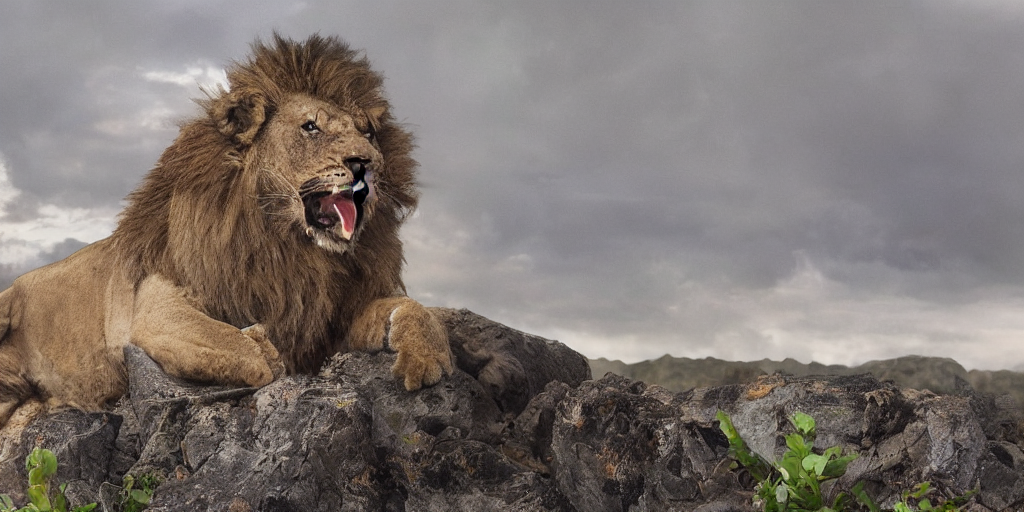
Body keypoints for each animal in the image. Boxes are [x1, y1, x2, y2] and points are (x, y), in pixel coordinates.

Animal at [0, 34, 453, 428]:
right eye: (310, 127)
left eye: (368, 132)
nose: (367, 164)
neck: (286, 247)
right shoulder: (153, 308)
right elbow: (244, 352)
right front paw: (264, 349)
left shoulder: (330, 321)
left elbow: (413, 308)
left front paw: (429, 358)